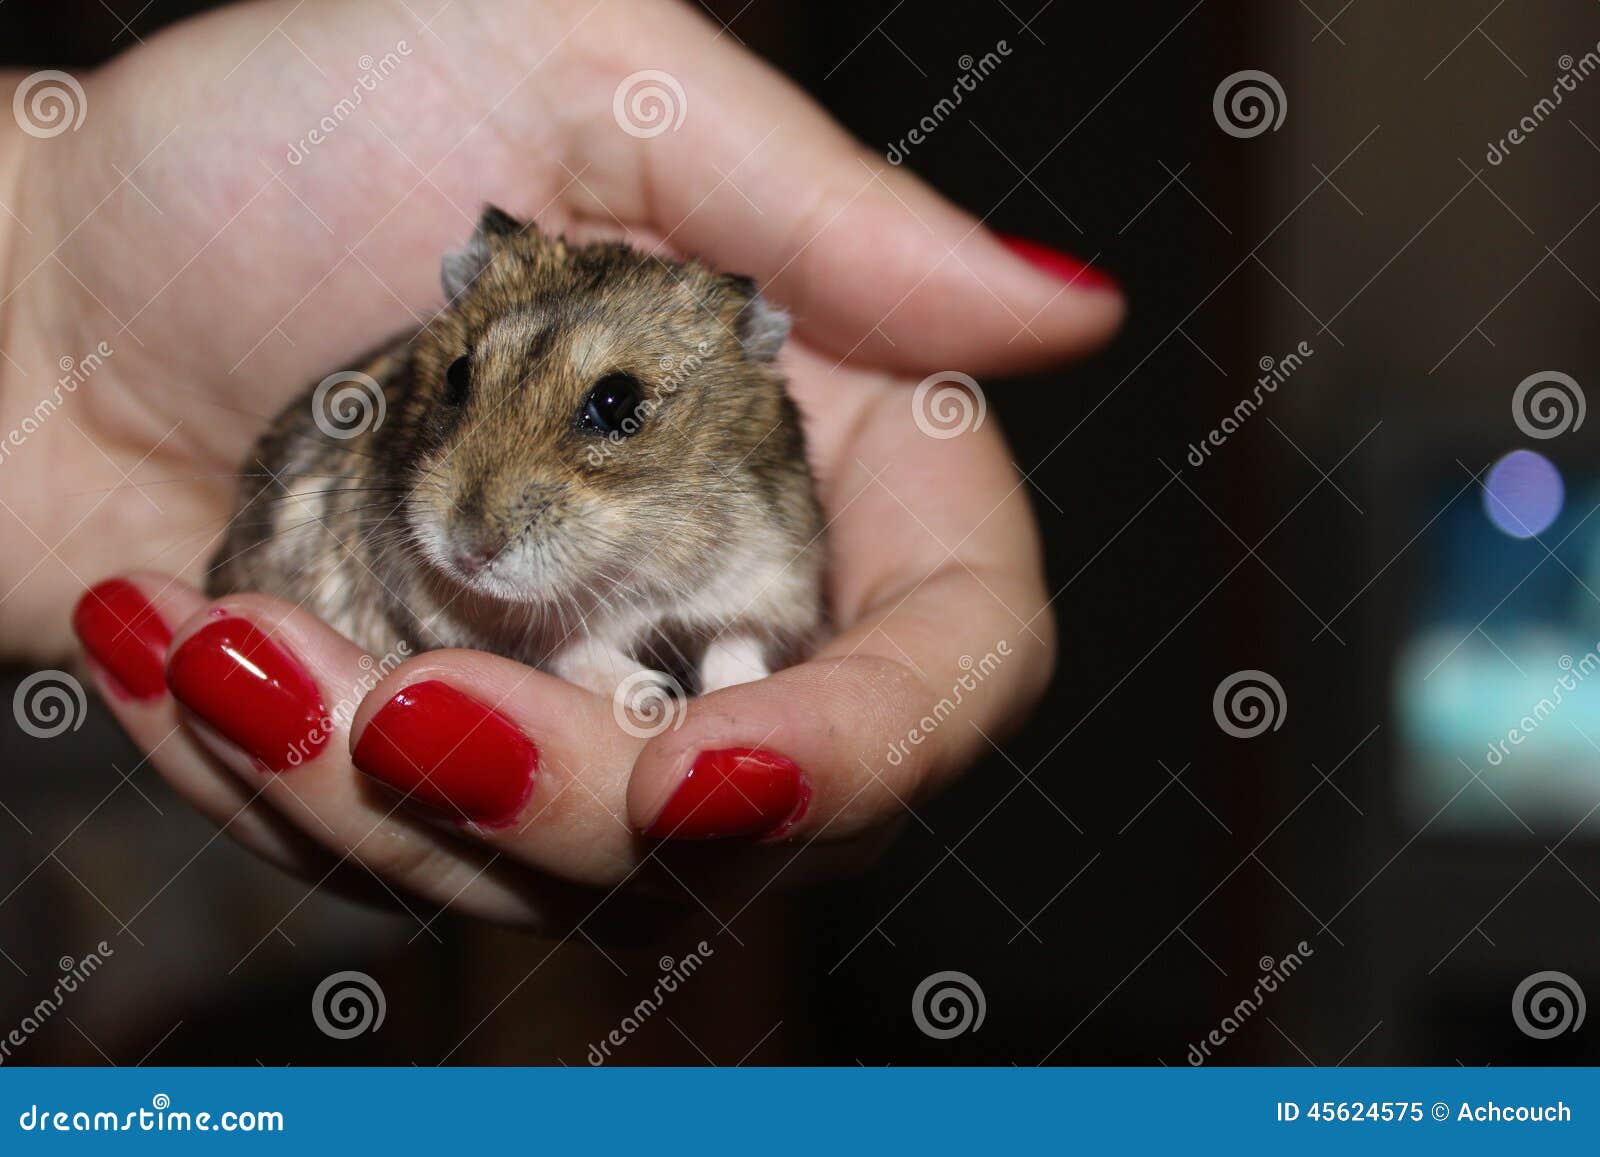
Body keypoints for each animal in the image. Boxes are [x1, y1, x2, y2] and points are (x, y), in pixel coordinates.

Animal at [208, 206, 825, 701]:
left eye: (616, 402)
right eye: (456, 375)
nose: (467, 554)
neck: (630, 566)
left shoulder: (767, 570)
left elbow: (736, 641)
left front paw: (730, 693)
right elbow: (567, 648)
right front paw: (655, 694)